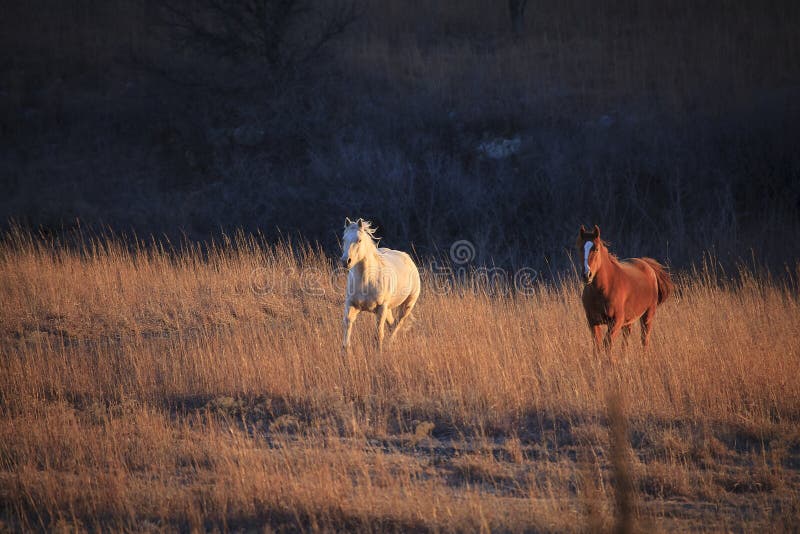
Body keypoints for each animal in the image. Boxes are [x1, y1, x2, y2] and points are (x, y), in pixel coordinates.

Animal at [340, 218, 421, 353]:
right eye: (344, 239)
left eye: (359, 240)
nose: (346, 261)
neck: (366, 281)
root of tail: (408, 259)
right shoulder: (351, 304)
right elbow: (347, 324)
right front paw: (346, 352)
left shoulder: (381, 308)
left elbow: (378, 335)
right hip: (388, 309)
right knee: (392, 324)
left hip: (407, 305)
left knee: (397, 325)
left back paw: (390, 345)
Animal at [577, 224, 673, 353]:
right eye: (580, 248)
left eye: (596, 249)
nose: (586, 275)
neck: (603, 290)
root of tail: (647, 265)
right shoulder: (593, 322)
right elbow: (597, 347)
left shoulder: (616, 322)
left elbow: (607, 344)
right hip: (629, 321)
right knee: (626, 342)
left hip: (648, 316)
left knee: (644, 340)